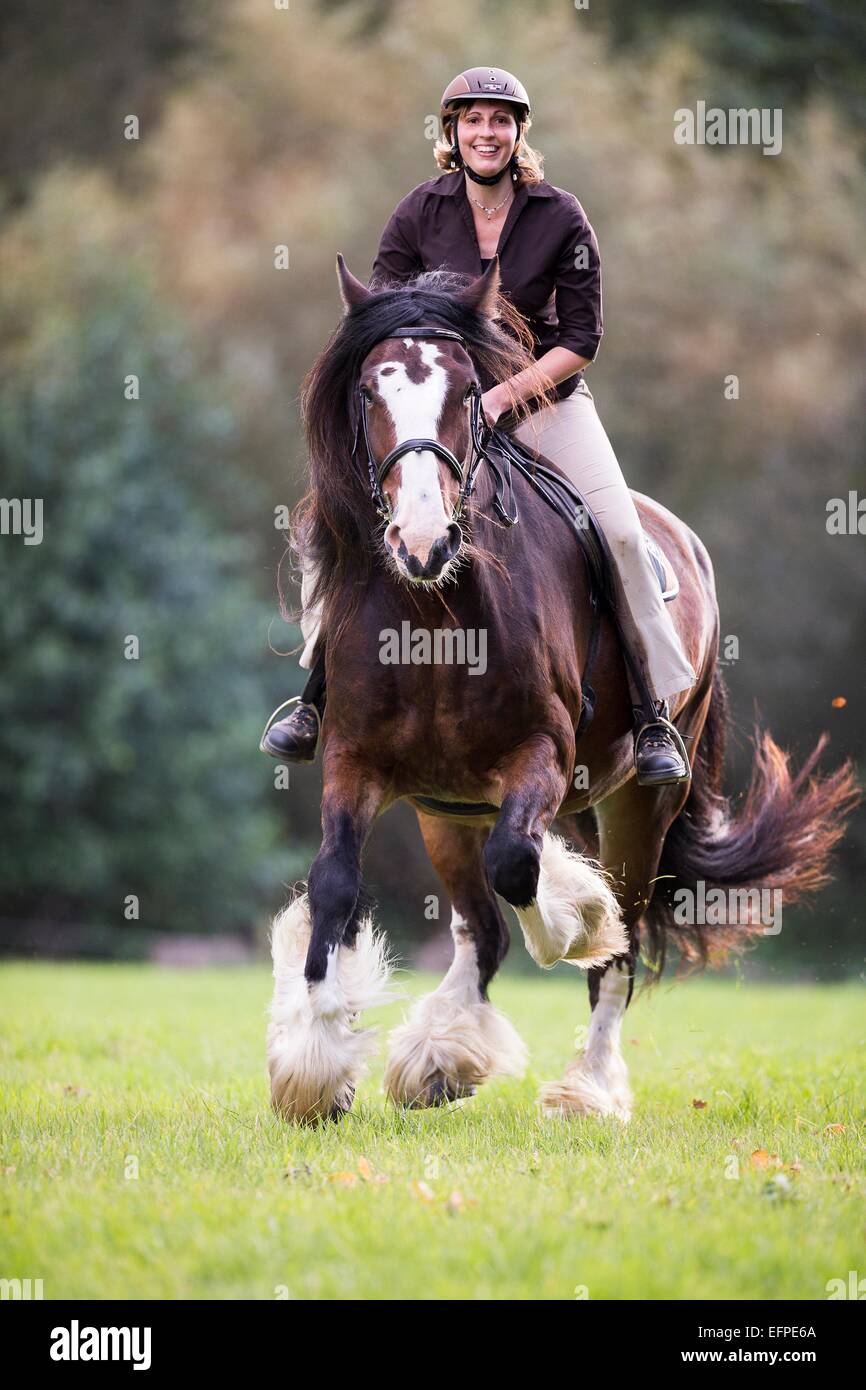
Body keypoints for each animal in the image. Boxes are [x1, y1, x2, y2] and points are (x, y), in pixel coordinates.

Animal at [266, 255, 857, 1124]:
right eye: (370, 390)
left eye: (467, 391)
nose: (422, 540)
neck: (435, 611)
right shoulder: (354, 759)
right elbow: (335, 884)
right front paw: (313, 1065)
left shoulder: (539, 754)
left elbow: (526, 872)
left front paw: (578, 916)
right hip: (449, 809)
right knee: (482, 931)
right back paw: (440, 1056)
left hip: (639, 800)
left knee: (618, 944)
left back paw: (587, 1085)